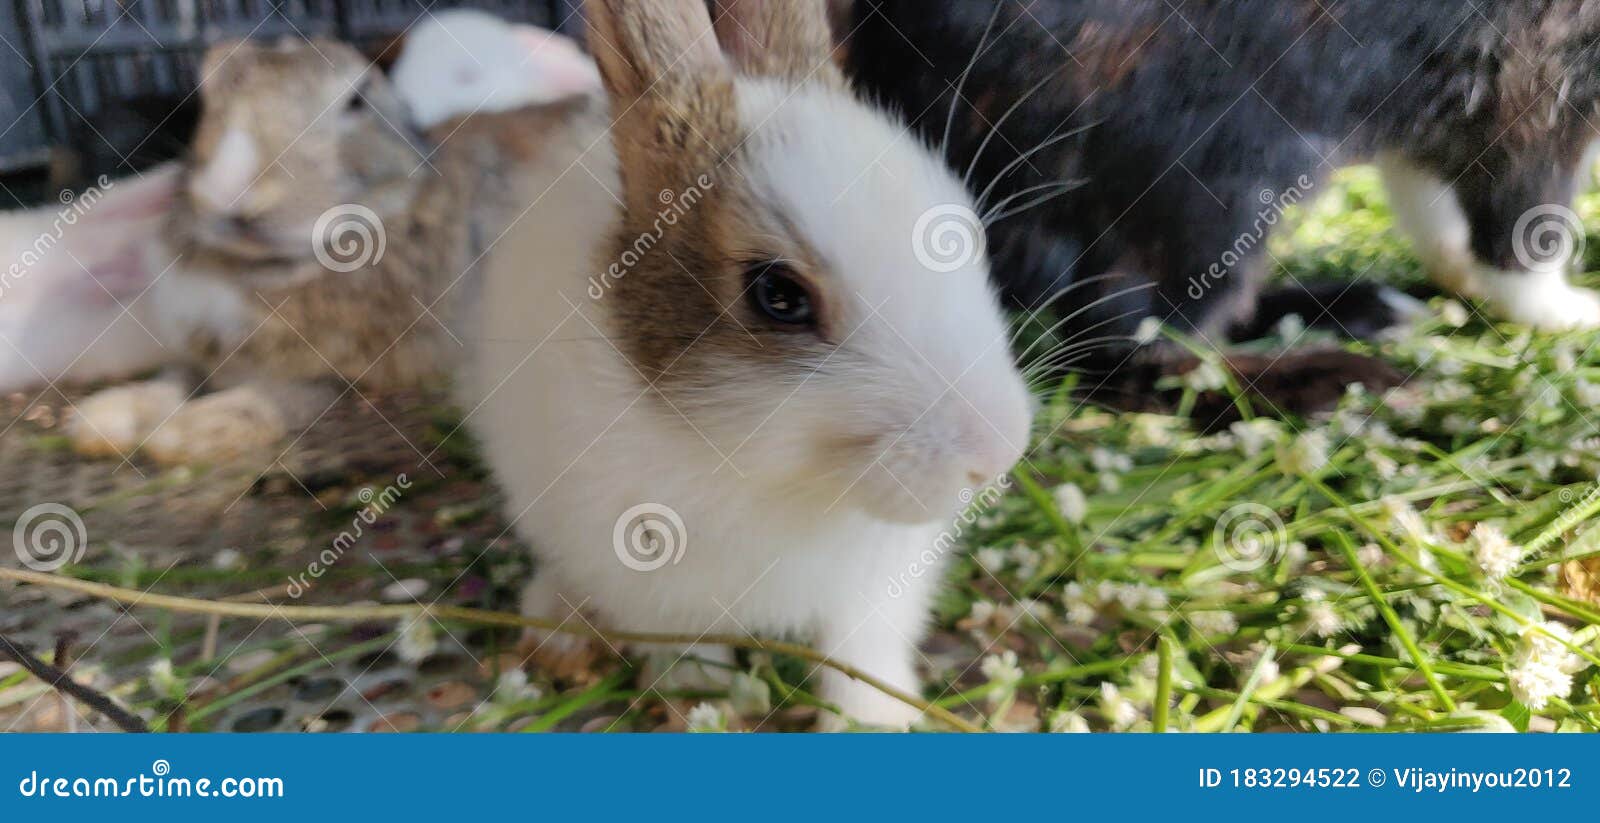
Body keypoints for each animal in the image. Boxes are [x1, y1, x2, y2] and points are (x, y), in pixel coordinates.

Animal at [456, 0, 1033, 729]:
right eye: (778, 296)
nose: (999, 449)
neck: (764, 474)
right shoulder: (655, 590)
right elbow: (692, 657)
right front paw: (702, 707)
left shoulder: (875, 594)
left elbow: (861, 657)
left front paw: (876, 718)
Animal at [836, 0, 1600, 396]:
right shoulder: (1534, 91)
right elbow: (1527, 229)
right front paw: (1574, 314)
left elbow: (1440, 218)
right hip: (1217, 189)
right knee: (1134, 351)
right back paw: (1337, 377)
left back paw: (1365, 310)